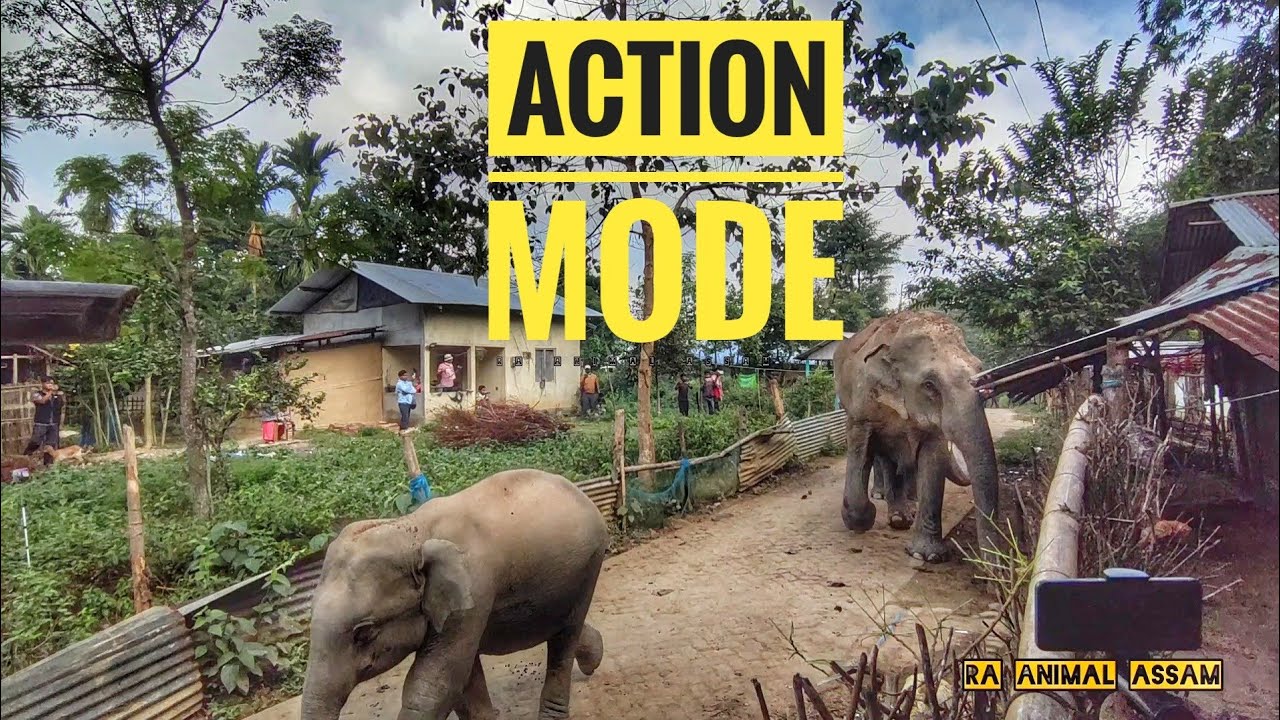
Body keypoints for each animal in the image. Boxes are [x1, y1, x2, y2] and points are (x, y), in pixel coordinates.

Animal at [300, 469, 609, 720]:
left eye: (364, 633)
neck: (413, 528)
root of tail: (581, 492)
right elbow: (463, 678)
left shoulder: (474, 588)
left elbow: (436, 682)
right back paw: (594, 658)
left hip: (589, 567)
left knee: (564, 639)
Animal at [833, 310, 999, 564]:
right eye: (929, 385)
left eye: (979, 369)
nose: (996, 568)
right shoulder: (862, 405)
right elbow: (860, 446)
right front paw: (865, 517)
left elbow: (932, 459)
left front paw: (927, 555)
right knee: (884, 457)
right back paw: (891, 507)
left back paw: (905, 512)